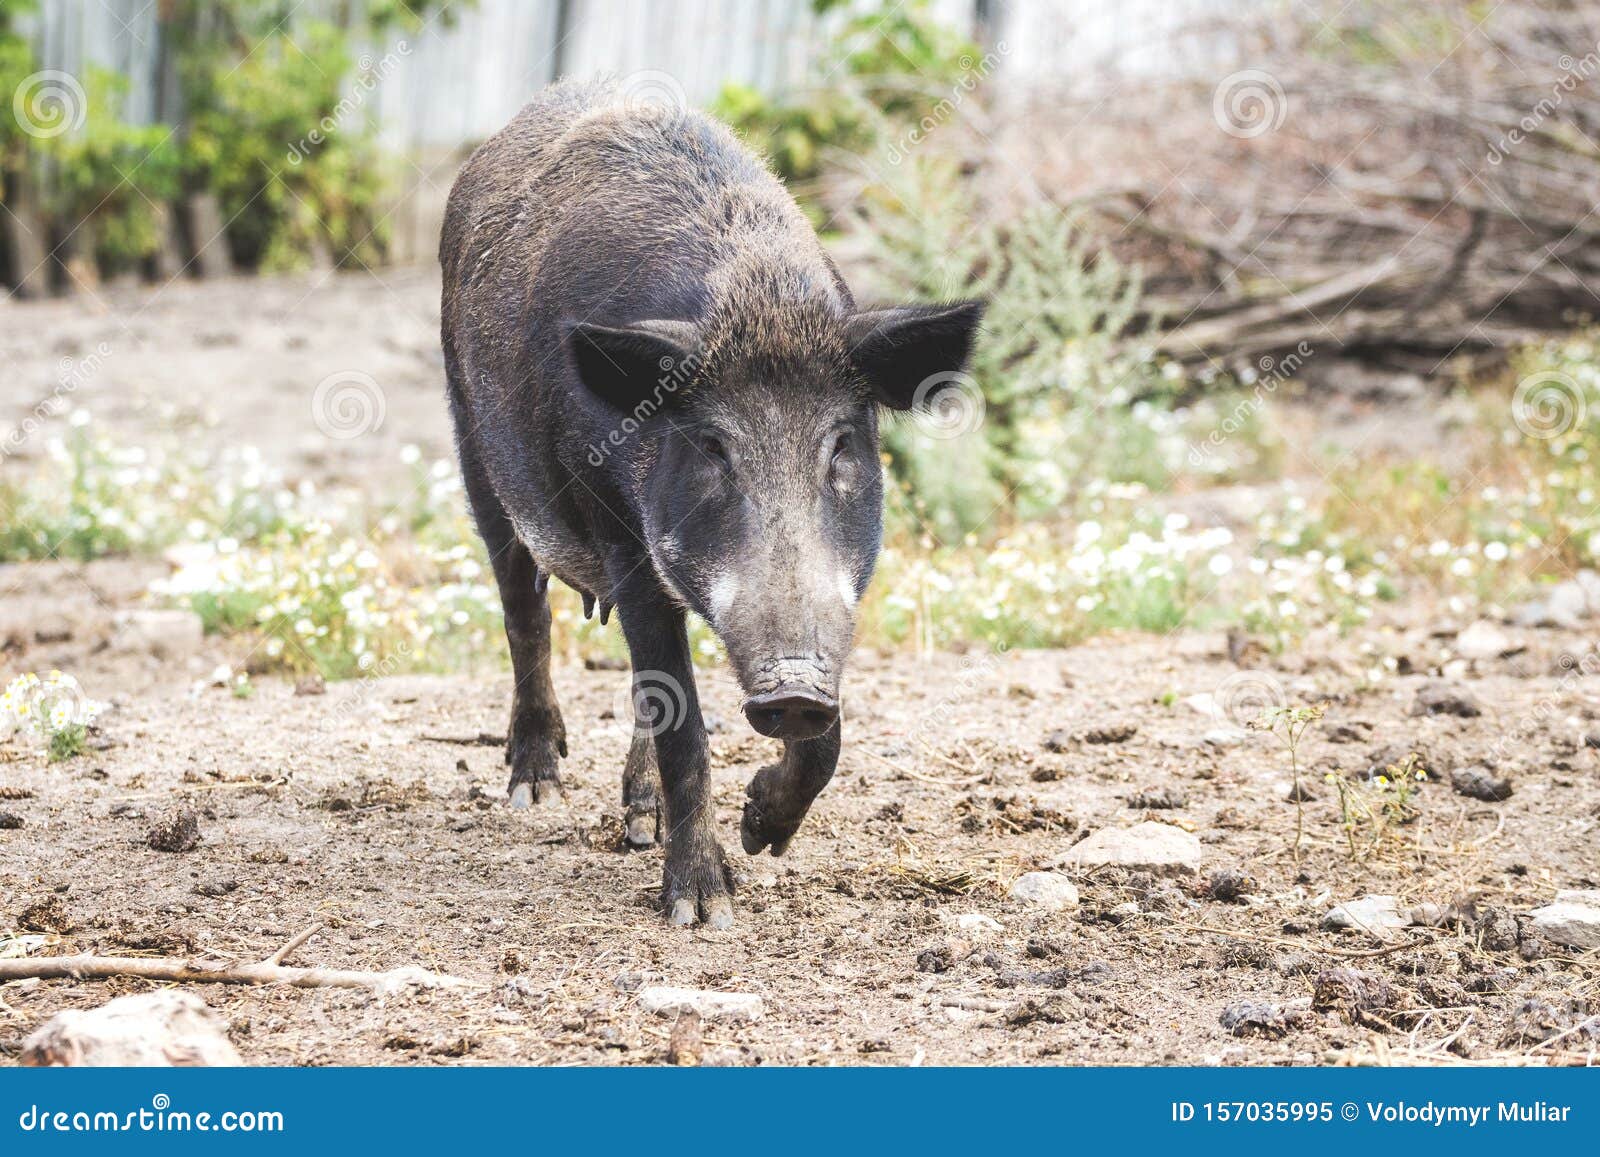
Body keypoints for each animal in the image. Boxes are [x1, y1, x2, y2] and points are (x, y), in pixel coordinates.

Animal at [439, 79, 982, 927]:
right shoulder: (622, 536)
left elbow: (816, 732)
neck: (755, 297)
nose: (793, 685)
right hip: (475, 450)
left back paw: (640, 821)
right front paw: (704, 909)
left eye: (840, 447)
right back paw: (535, 790)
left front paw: (763, 833)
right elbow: (684, 724)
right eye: (713, 448)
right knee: (525, 615)